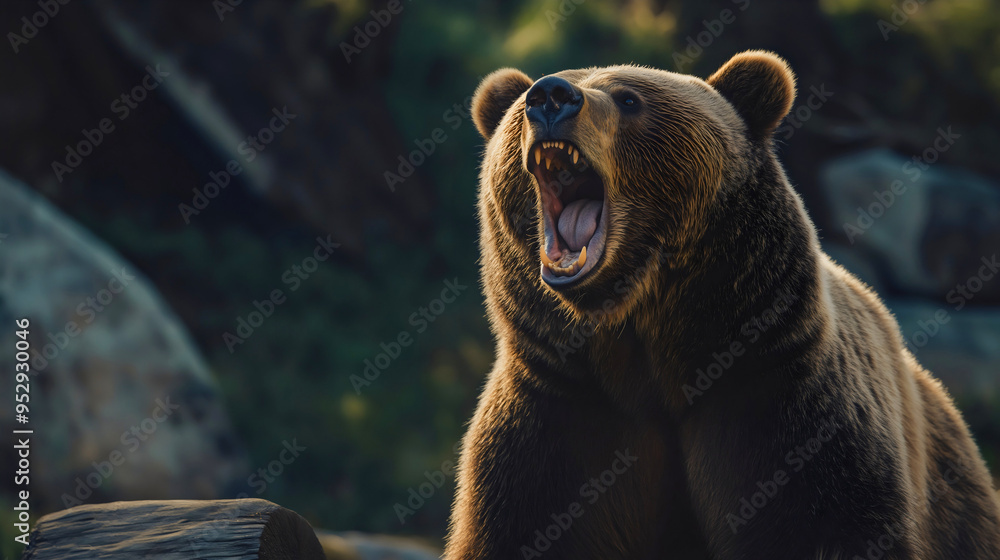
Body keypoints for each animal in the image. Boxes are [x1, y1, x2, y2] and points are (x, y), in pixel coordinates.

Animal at [443, 51, 1000, 560]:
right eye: (523, 103)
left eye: (628, 99)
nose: (551, 96)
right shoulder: (559, 414)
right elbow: (524, 524)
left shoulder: (781, 402)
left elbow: (826, 525)